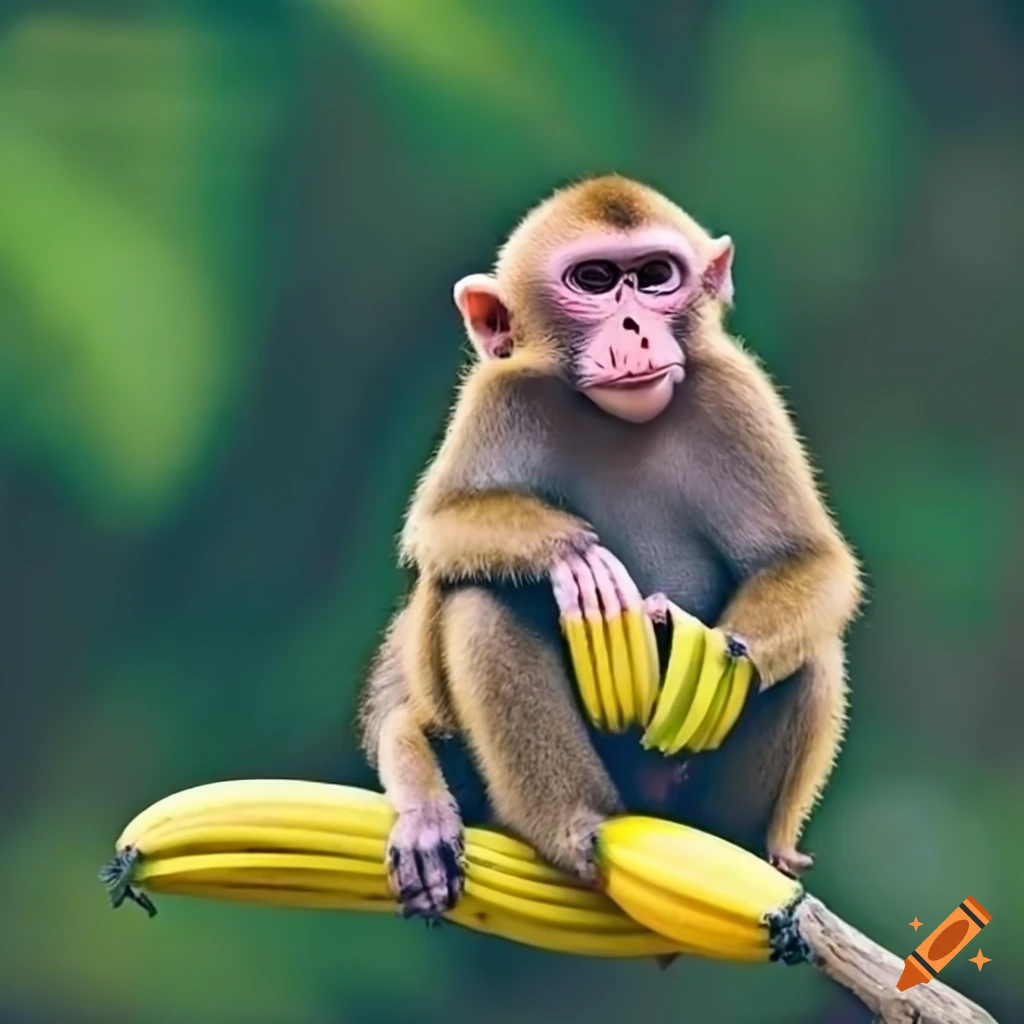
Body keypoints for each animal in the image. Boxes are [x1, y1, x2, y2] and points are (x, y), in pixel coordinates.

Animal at [357, 174, 864, 922]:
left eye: (654, 277)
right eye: (594, 281)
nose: (635, 326)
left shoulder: (736, 392)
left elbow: (807, 562)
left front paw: (713, 658)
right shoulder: (498, 395)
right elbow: (438, 528)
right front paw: (575, 558)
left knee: (805, 653)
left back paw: (746, 853)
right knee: (479, 599)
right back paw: (574, 829)